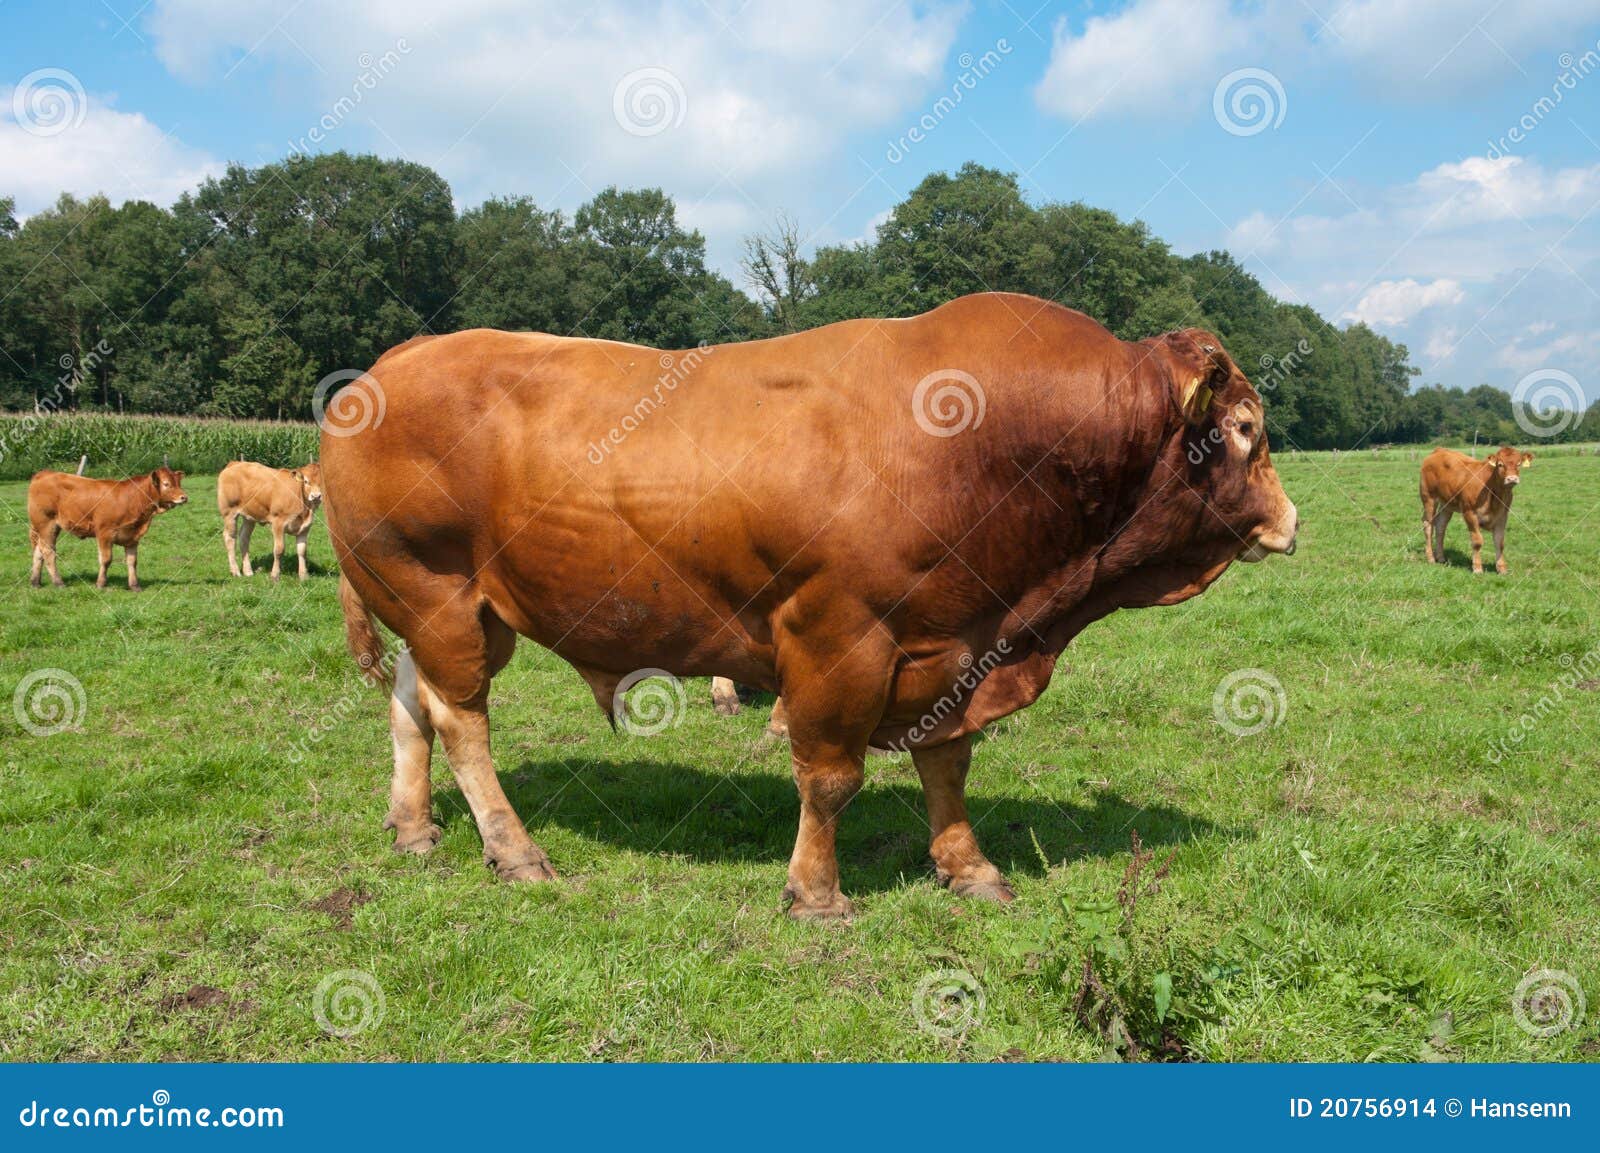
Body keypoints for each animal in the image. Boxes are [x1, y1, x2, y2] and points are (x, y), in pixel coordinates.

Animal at [28, 465, 189, 590]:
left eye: (178, 482)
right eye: (166, 484)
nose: (184, 497)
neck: (132, 499)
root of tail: (44, 473)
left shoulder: (133, 537)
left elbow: (132, 561)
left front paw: (134, 586)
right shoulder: (104, 533)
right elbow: (106, 559)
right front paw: (100, 584)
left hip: (46, 527)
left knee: (38, 551)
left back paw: (35, 582)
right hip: (46, 524)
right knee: (48, 552)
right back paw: (58, 583)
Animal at [324, 292, 1298, 918]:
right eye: (1246, 430)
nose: (1292, 520)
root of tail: (392, 362)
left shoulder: (953, 642)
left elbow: (947, 764)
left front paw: (969, 867)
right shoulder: (839, 638)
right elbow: (830, 776)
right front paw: (817, 893)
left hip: (441, 604)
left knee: (412, 705)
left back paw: (414, 826)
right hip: (437, 590)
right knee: (461, 721)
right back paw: (516, 851)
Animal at [1420, 445, 1533, 574]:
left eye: (1518, 464)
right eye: (1500, 464)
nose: (1512, 479)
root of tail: (1439, 450)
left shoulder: (1502, 515)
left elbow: (1500, 542)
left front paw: (1502, 568)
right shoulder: (1470, 513)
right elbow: (1477, 541)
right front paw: (1477, 568)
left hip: (1447, 504)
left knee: (1440, 526)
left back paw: (1441, 557)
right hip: (1428, 498)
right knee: (1428, 525)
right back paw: (1431, 558)